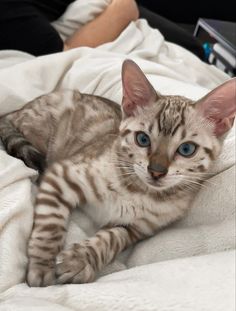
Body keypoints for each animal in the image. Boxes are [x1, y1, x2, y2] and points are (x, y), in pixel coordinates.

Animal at [0, 59, 235, 288]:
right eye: (142, 139)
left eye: (186, 149)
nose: (156, 171)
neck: (140, 192)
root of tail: (13, 111)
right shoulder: (61, 174)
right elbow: (50, 223)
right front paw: (42, 266)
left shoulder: (137, 229)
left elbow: (114, 237)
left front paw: (79, 260)